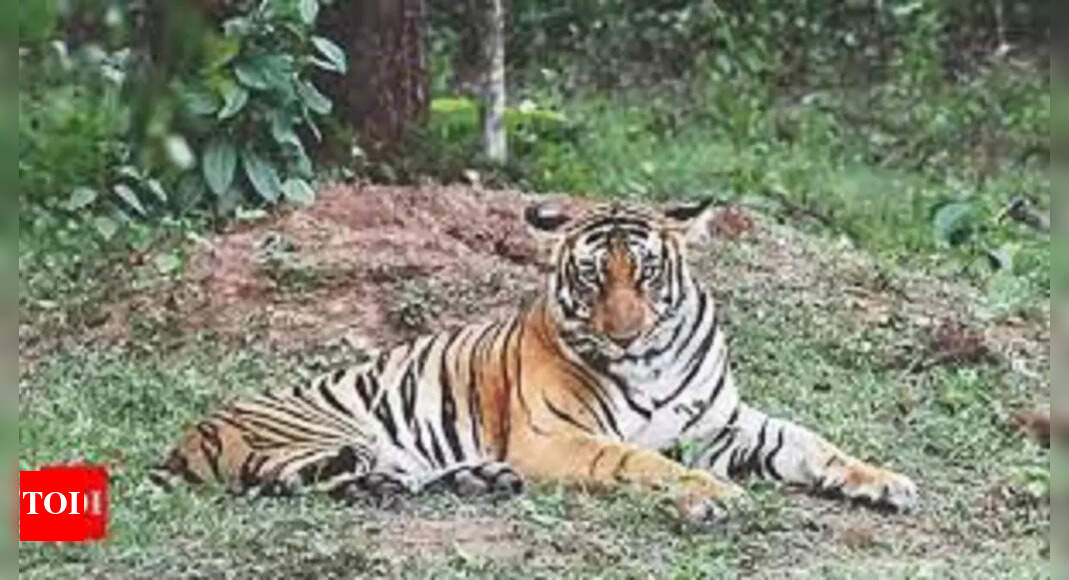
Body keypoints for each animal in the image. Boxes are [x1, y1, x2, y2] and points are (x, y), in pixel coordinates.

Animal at [151, 200, 917, 520]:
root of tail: (186, 437)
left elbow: (813, 442)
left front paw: (885, 481)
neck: (652, 362)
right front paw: (710, 495)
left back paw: (478, 481)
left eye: (644, 275)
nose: (624, 336)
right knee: (308, 480)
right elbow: (638, 460)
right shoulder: (554, 436)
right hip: (329, 431)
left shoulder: (722, 424)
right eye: (593, 278)